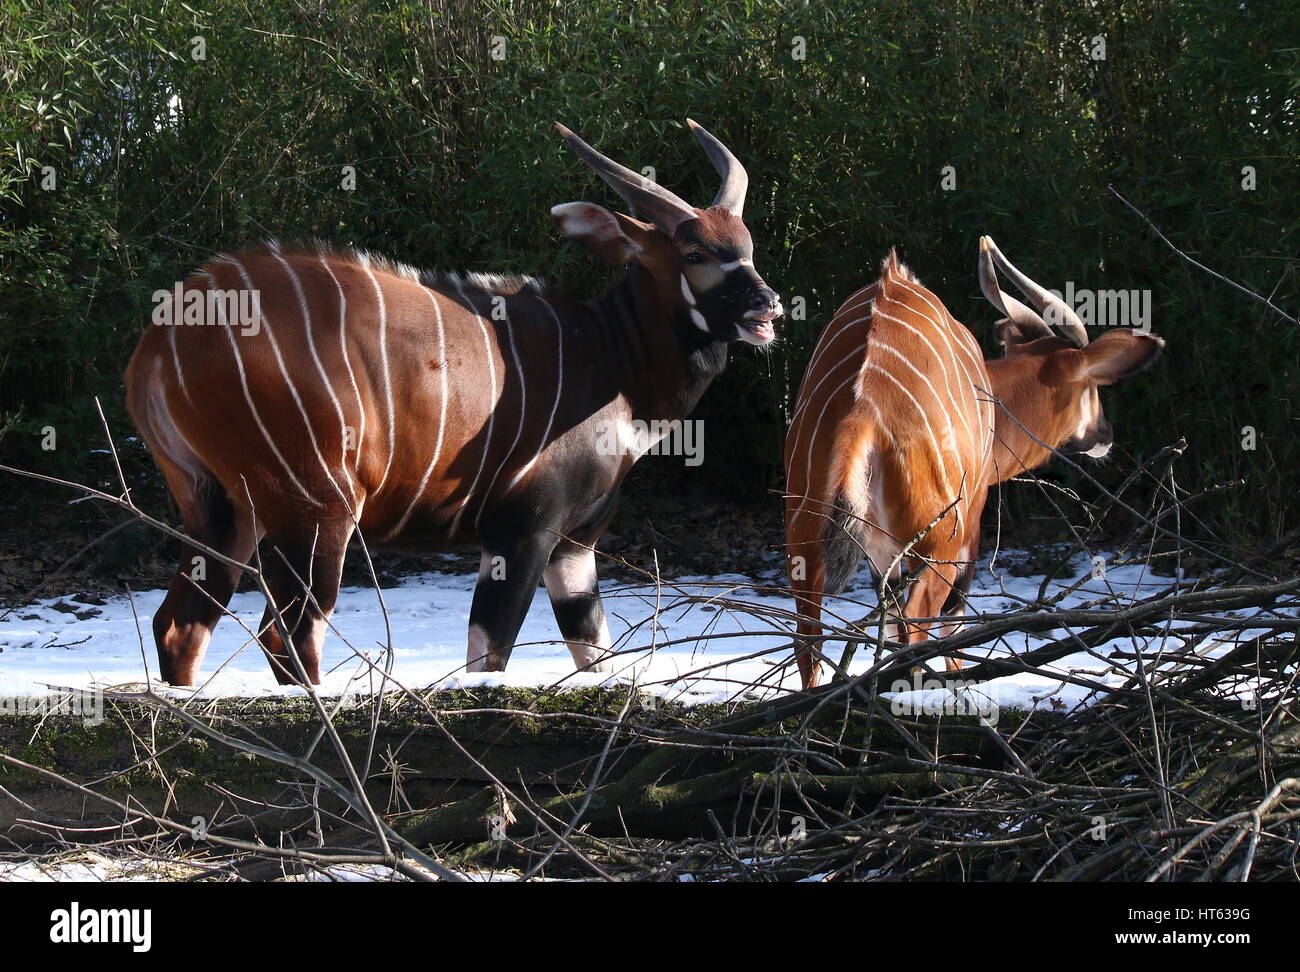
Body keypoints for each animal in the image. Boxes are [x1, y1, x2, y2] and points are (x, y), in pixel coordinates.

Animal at [126, 120, 782, 686]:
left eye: (748, 247)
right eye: (694, 254)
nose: (769, 305)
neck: (609, 357)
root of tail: (159, 344)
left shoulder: (575, 547)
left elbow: (594, 655)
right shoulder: (523, 530)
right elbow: (488, 658)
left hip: (221, 508)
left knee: (181, 625)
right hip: (316, 508)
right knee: (288, 632)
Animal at [784, 238, 1162, 688]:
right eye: (1092, 388)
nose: (1105, 434)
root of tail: (863, 412)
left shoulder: (883, 557)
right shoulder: (970, 530)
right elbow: (952, 626)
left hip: (806, 545)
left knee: (809, 641)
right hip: (938, 546)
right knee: (918, 628)